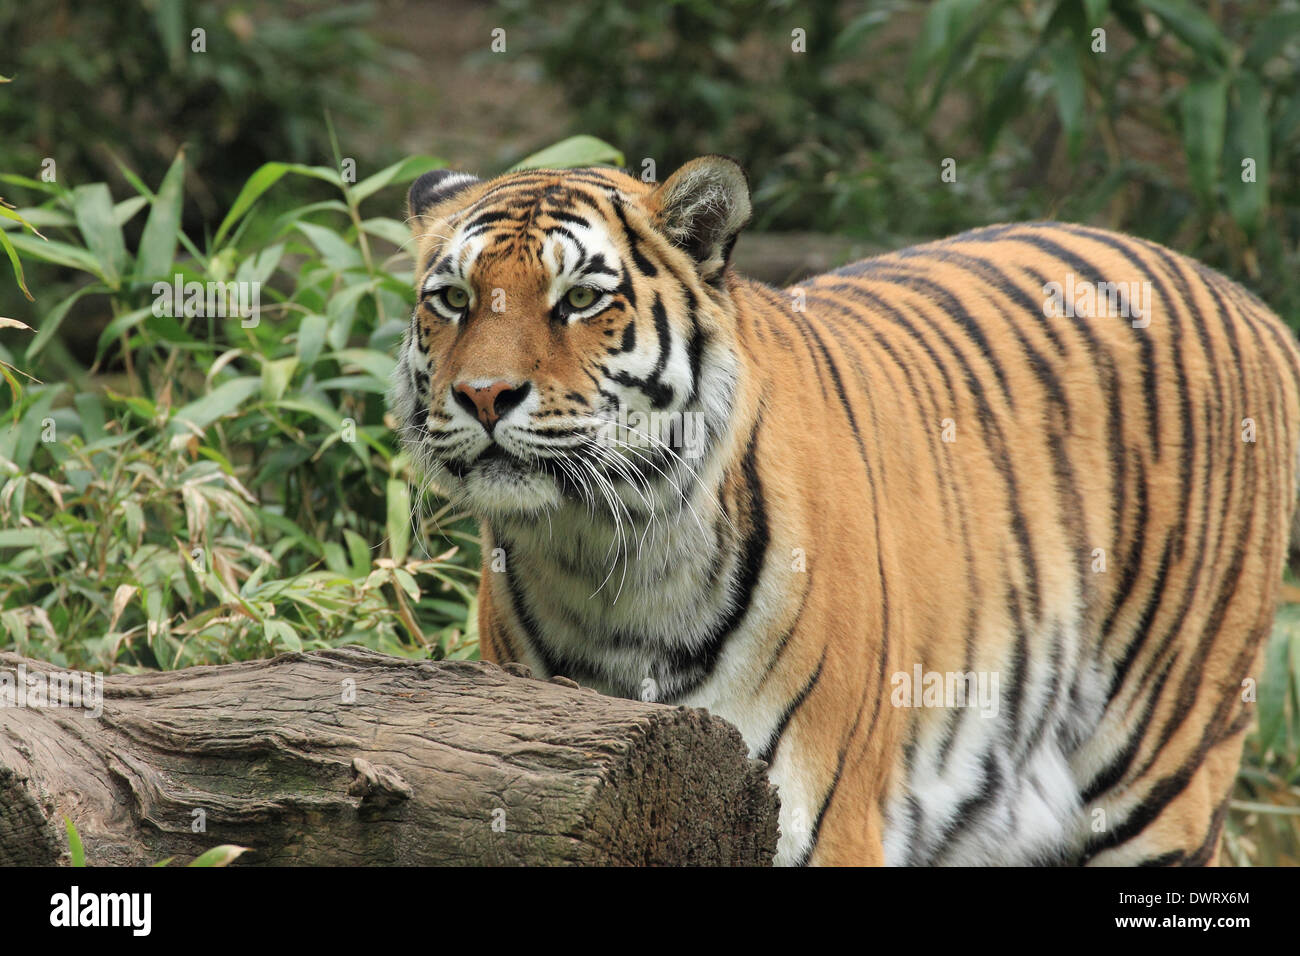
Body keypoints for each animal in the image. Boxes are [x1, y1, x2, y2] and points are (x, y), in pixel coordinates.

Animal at [389, 155, 1300, 866]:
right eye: (453, 298)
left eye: (580, 299)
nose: (483, 395)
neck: (603, 556)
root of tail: (1246, 300)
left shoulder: (820, 820)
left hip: (1164, 770)